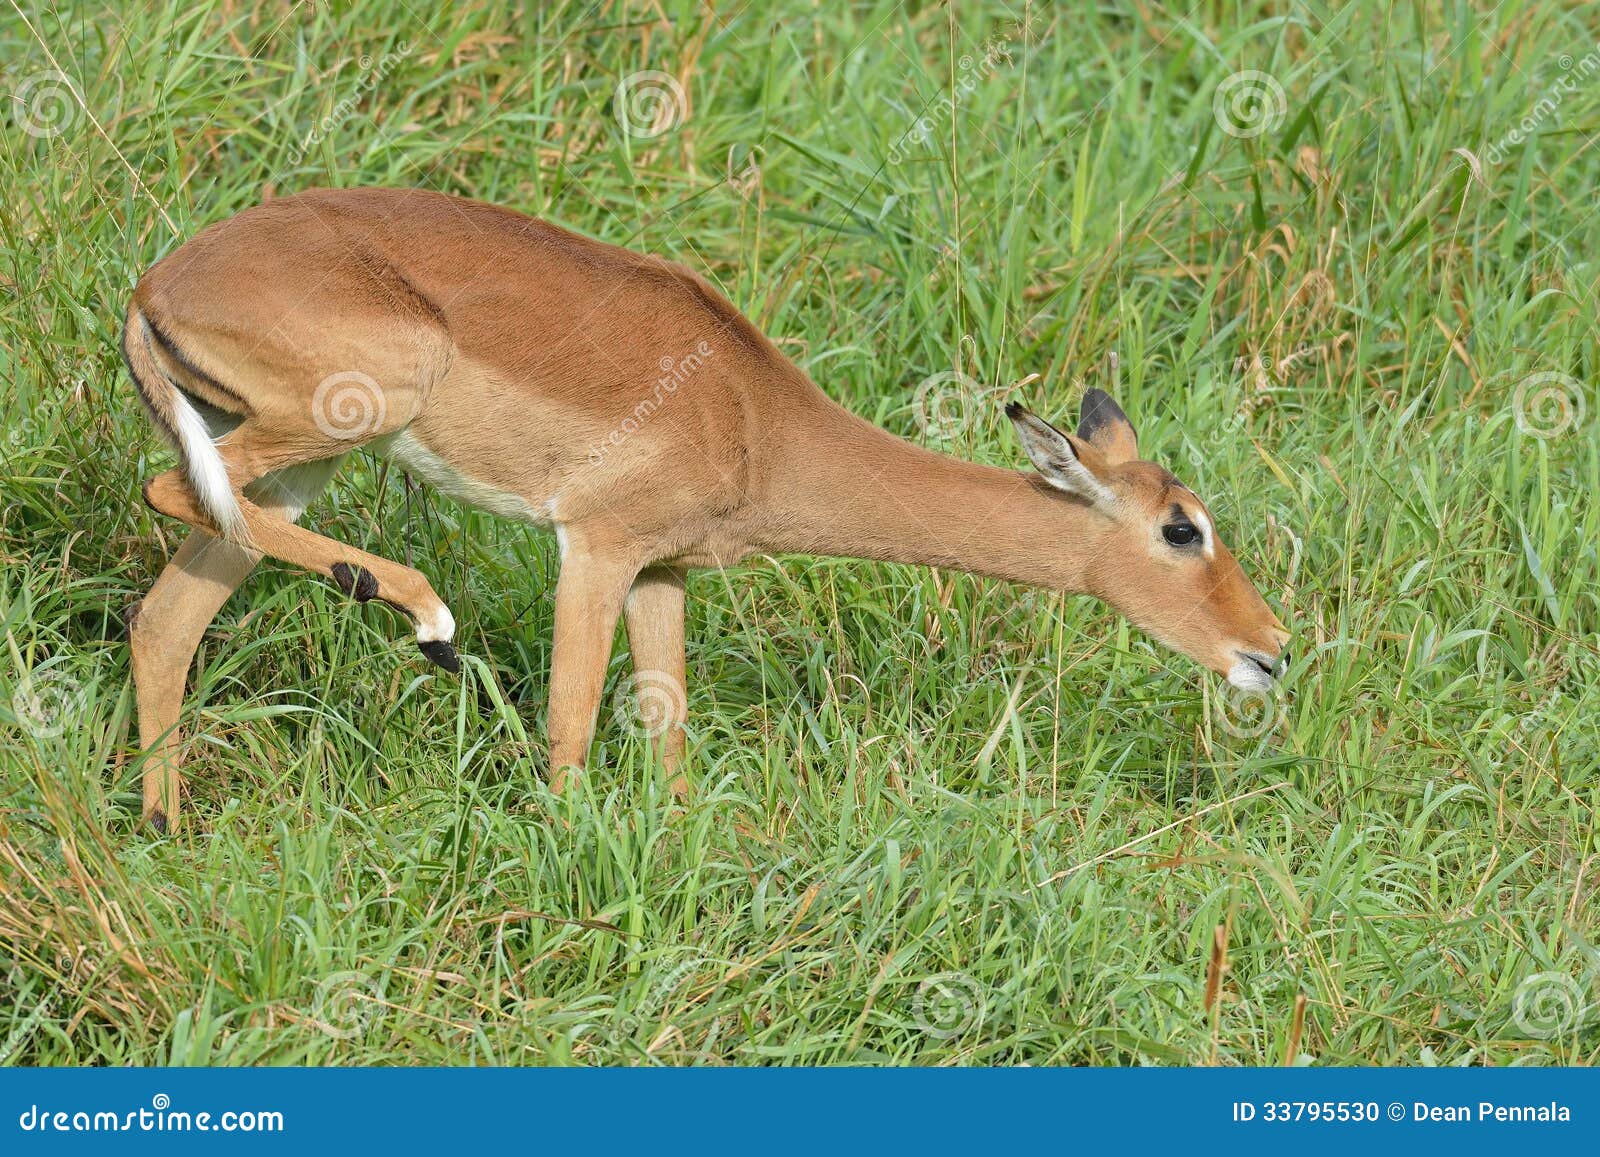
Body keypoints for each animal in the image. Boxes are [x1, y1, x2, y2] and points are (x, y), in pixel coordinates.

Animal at [122, 187, 1289, 831]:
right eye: (1182, 526)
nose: (1272, 650)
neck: (755, 415)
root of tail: (153, 285)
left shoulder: (663, 571)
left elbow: (670, 741)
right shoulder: (595, 545)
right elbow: (569, 732)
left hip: (299, 462)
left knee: (166, 615)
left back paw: (165, 822)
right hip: (340, 415)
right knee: (170, 487)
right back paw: (424, 616)